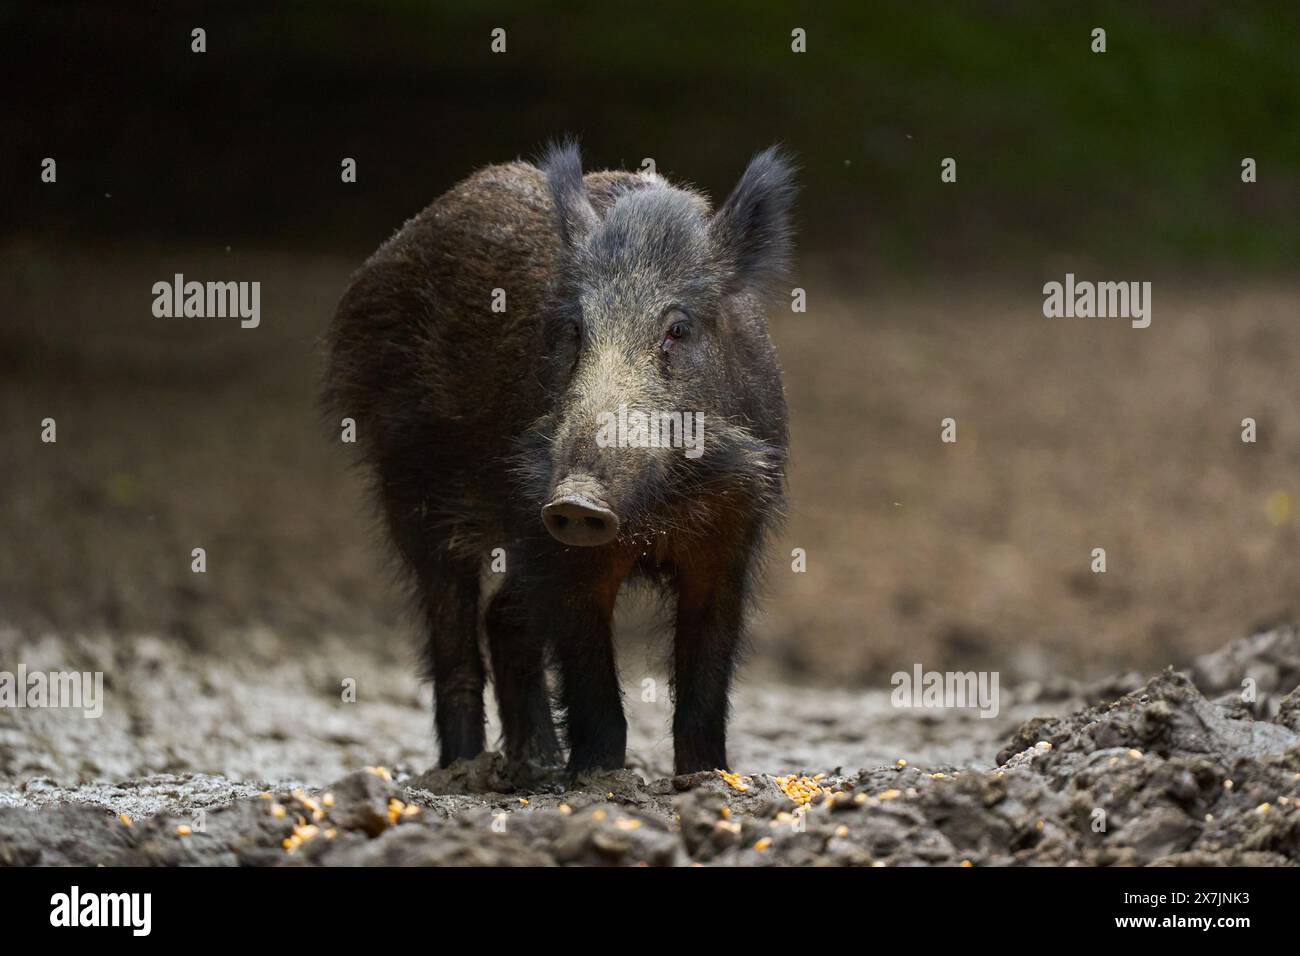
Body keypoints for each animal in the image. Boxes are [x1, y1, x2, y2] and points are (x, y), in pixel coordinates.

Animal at [323, 142, 794, 776]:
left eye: (677, 329)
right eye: (574, 330)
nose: (577, 498)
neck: (655, 511)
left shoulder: (732, 536)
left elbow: (705, 676)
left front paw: (706, 776)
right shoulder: (564, 547)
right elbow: (589, 676)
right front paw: (595, 776)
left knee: (502, 617)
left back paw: (535, 764)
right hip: (407, 478)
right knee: (454, 628)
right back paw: (467, 768)